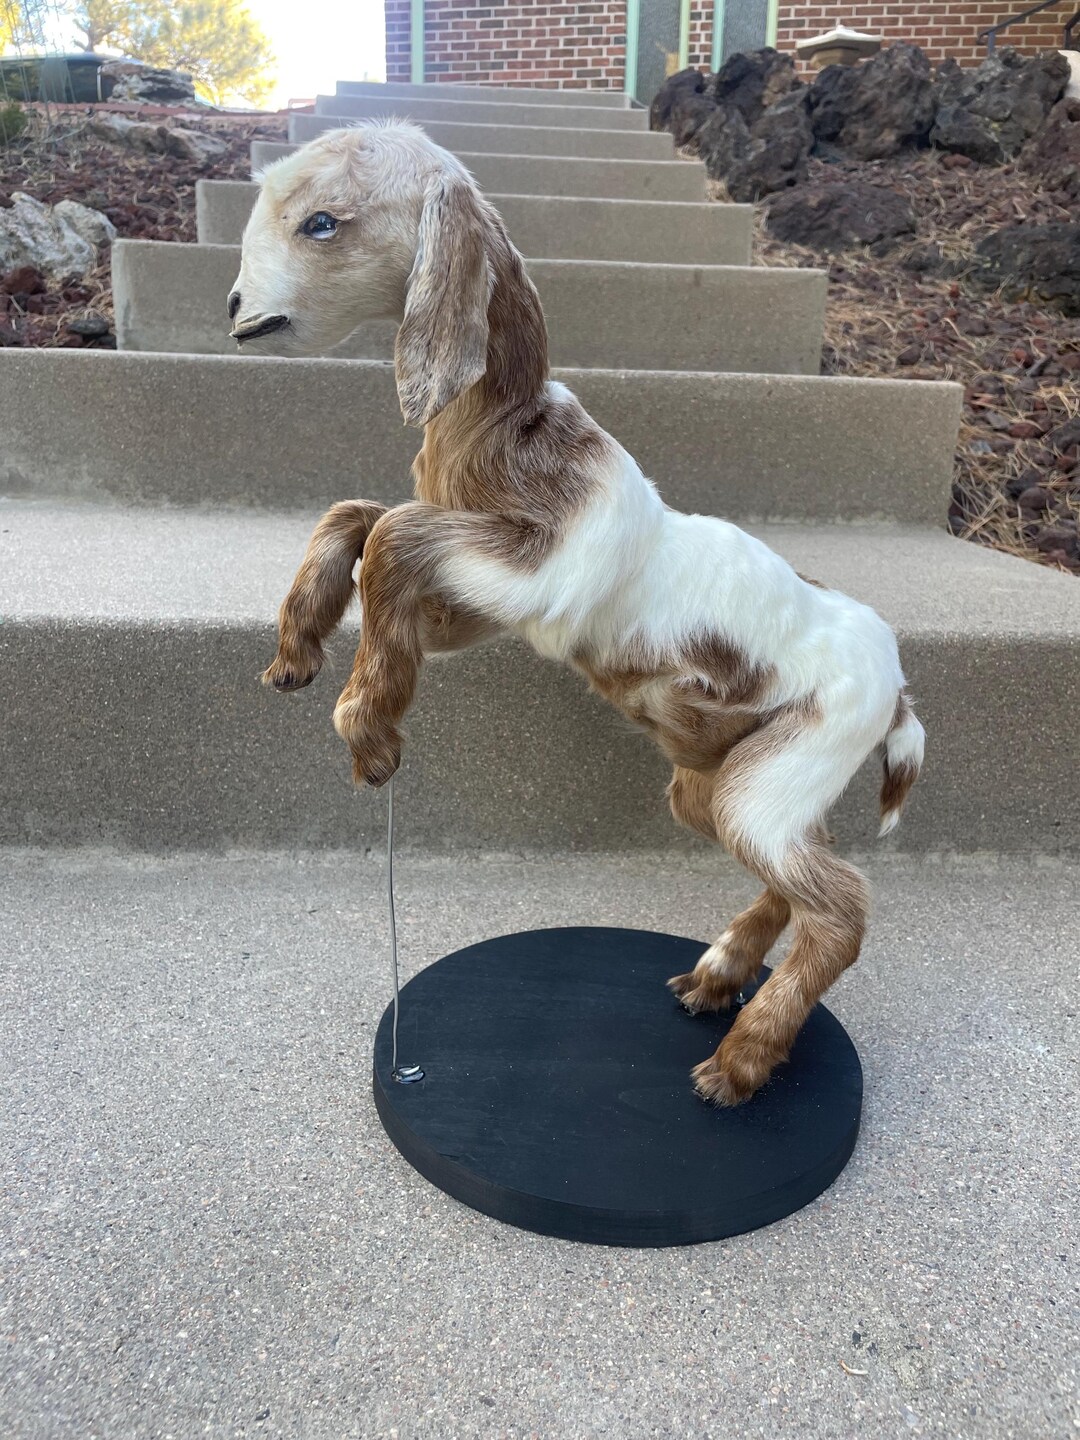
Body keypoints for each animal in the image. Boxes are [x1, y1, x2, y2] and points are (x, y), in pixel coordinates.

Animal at [230, 122, 925, 1106]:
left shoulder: (542, 576)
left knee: (844, 907)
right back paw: (714, 977)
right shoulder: (471, 607)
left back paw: (739, 1063)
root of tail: (896, 688)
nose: (237, 309)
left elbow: (396, 530)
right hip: (740, 785)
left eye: (321, 221)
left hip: (780, 779)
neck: (507, 432)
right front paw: (298, 648)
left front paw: (371, 737)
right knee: (798, 878)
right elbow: (360, 522)